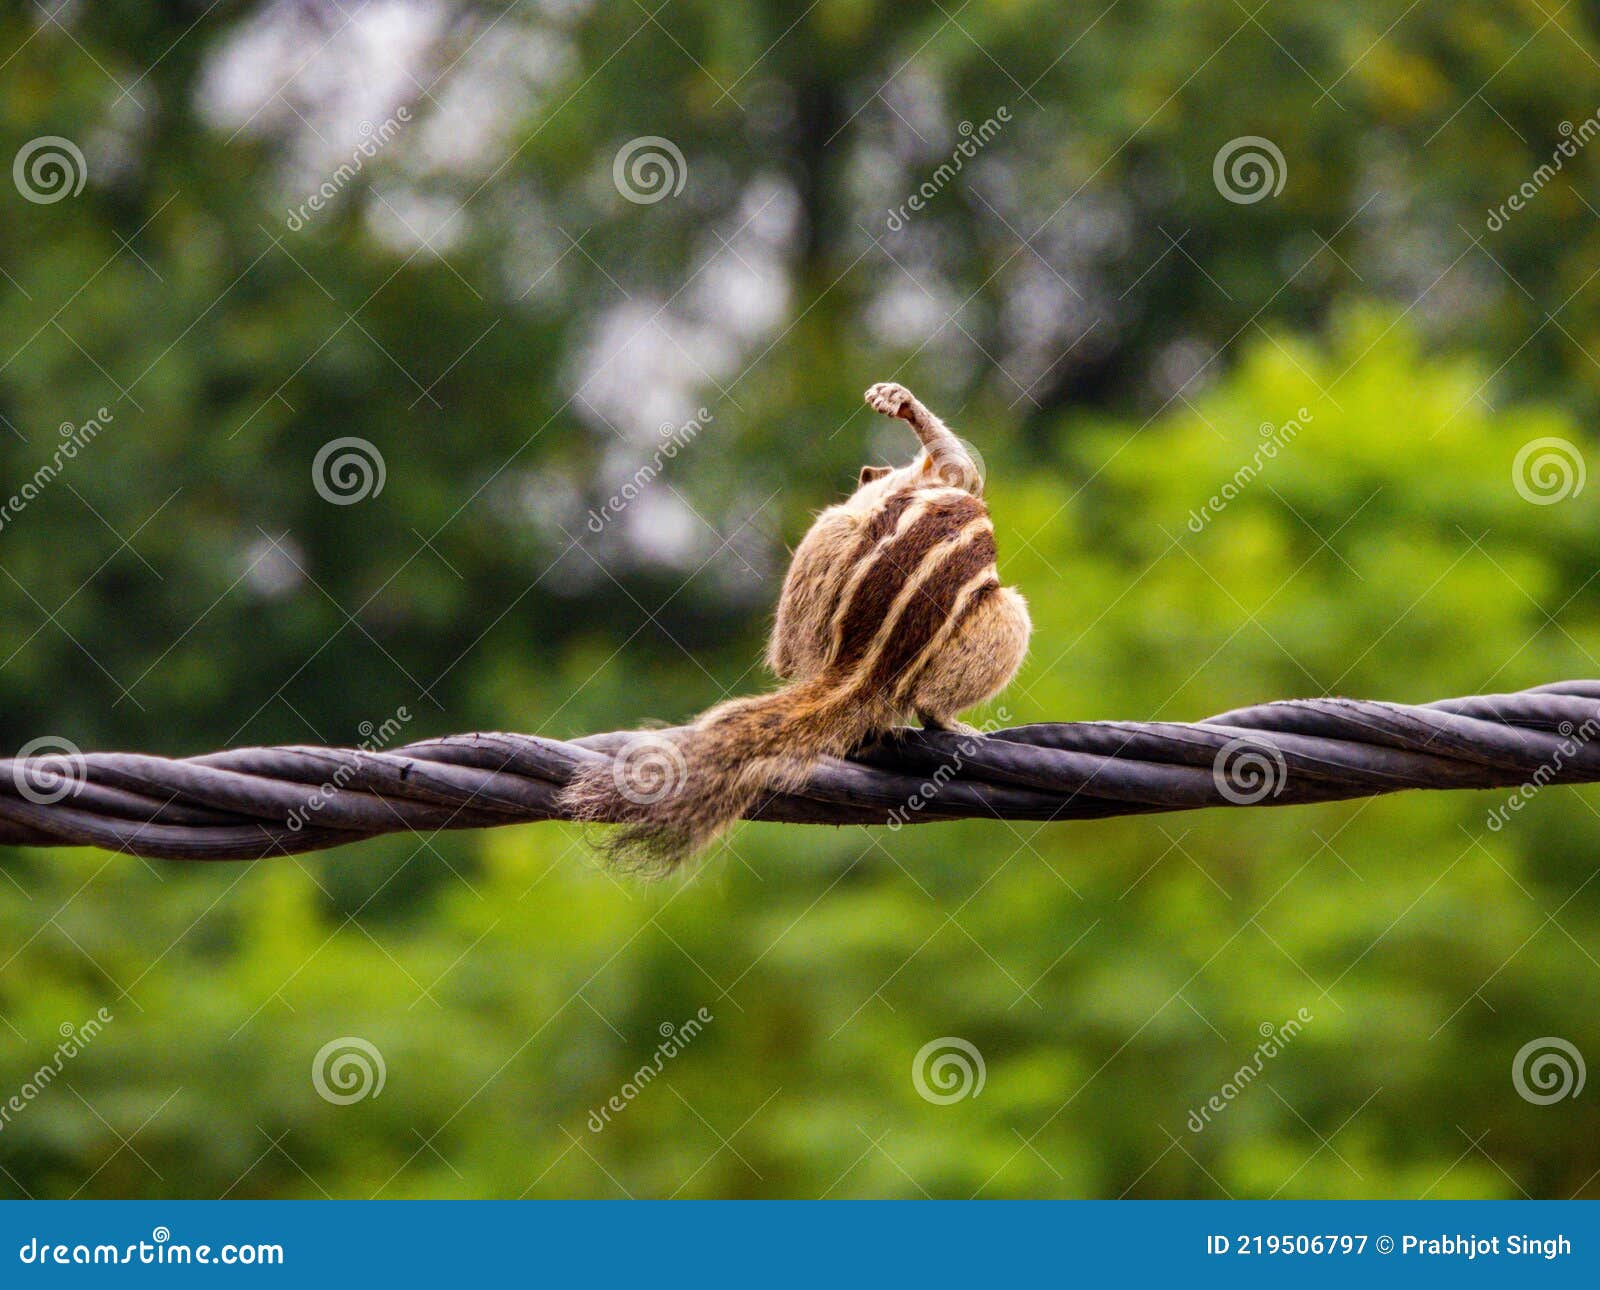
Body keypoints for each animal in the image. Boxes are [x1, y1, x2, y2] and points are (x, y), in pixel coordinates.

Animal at [560, 382, 1032, 870]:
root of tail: (864, 669)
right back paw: (953, 725)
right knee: (927, 705)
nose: (869, 474)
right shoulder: (952, 479)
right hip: (1006, 618)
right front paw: (900, 403)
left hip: (831, 549)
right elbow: (958, 461)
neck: (906, 484)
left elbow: (954, 460)